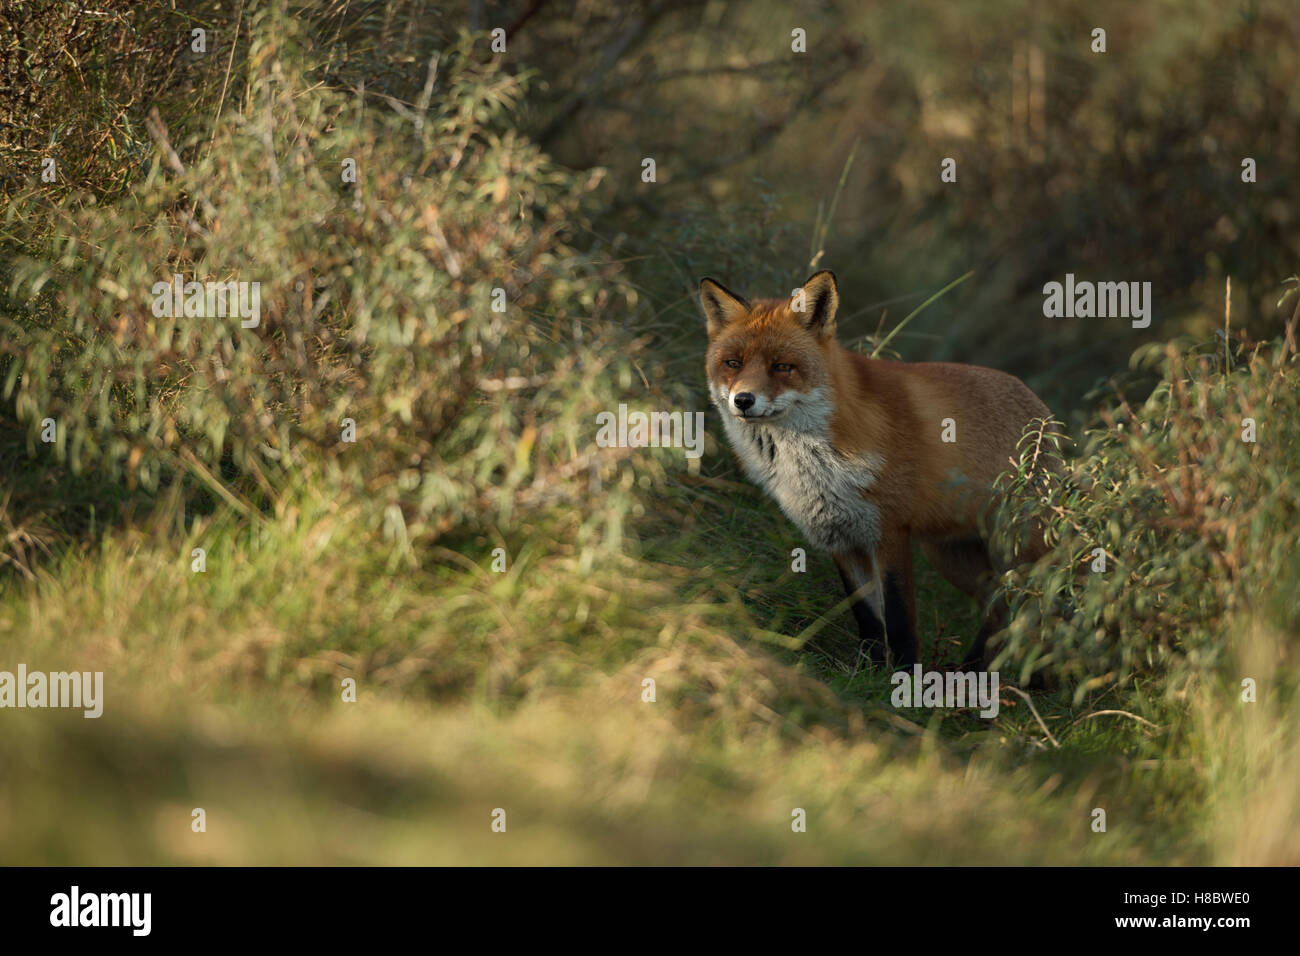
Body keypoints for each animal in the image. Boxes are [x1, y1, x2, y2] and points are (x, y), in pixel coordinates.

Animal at [701, 269, 1053, 669]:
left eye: (782, 367)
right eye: (733, 363)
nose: (743, 400)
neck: (814, 460)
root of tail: (1041, 410)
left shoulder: (889, 530)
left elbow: (898, 614)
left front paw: (904, 673)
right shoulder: (838, 534)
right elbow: (866, 614)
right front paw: (866, 668)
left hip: (1018, 548)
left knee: (1039, 607)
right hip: (951, 556)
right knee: (999, 605)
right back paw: (976, 668)